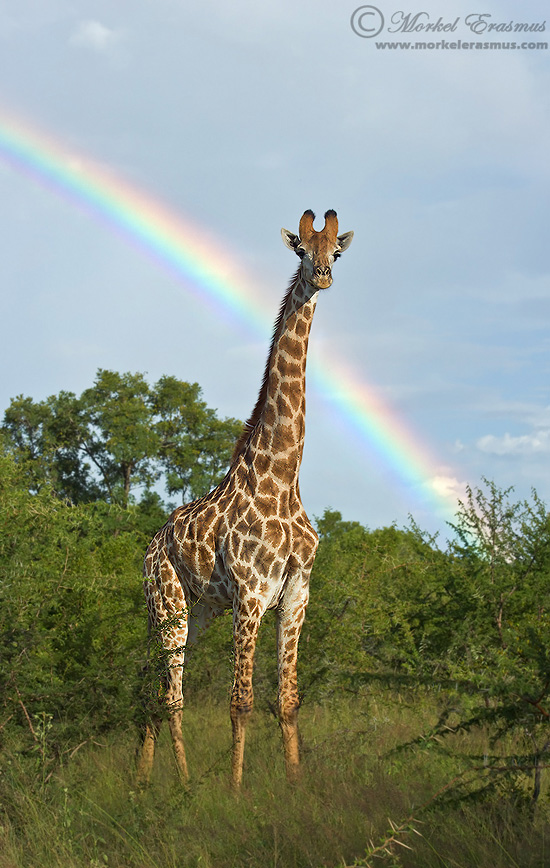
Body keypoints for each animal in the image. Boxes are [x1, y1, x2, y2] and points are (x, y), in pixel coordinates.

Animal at [136, 209, 354, 788]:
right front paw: (235, 792)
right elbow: (240, 702)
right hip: (167, 604)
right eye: (301, 249)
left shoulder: (297, 593)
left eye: (336, 252)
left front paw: (295, 784)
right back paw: (183, 783)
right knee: (172, 695)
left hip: (198, 611)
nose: (323, 276)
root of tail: (150, 548)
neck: (281, 478)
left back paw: (141, 781)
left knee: (151, 687)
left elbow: (288, 699)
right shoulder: (252, 595)